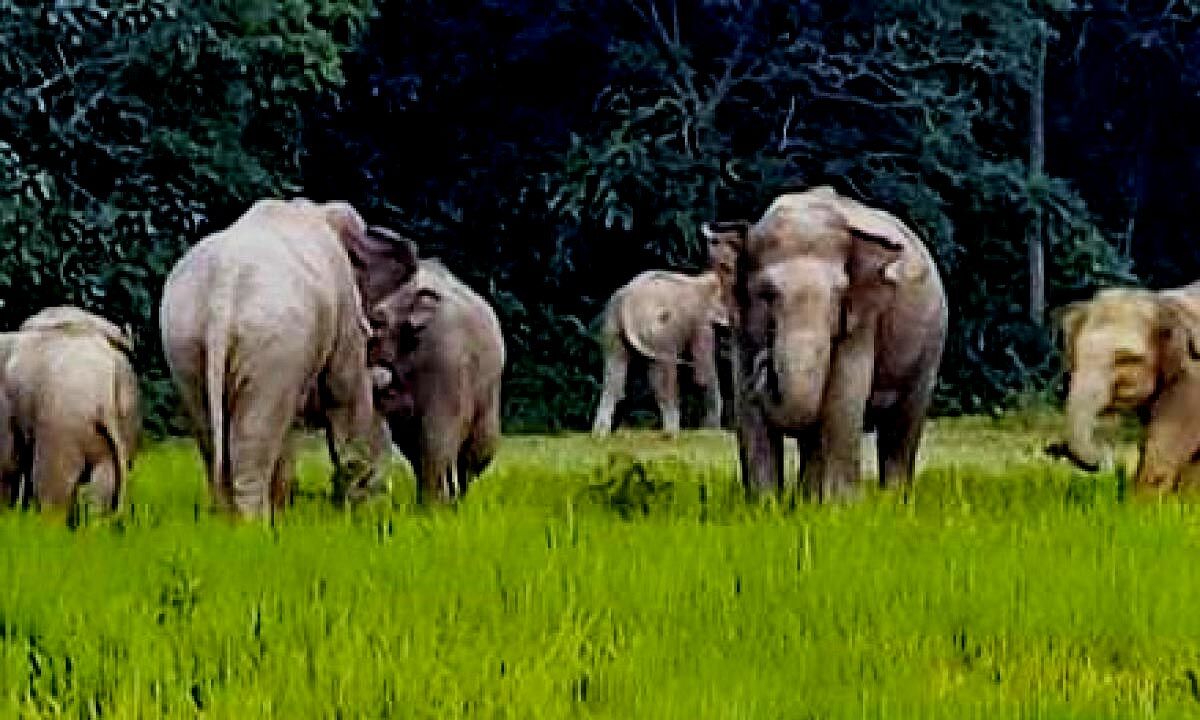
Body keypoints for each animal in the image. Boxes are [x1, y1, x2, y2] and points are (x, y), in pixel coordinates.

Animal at [160, 198, 416, 518]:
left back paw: (227, 520)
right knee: (255, 434)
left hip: (185, 343)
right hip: (273, 344)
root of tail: (222, 289)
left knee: (209, 431)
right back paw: (255, 523)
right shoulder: (343, 296)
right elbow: (343, 386)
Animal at [365, 255, 505, 502]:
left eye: (377, 322)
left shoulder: (445, 354)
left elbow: (435, 433)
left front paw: (433, 509)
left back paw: (458, 501)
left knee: (476, 453)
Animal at [591, 269, 729, 437]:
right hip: (659, 331)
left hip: (612, 329)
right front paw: (715, 434)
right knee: (664, 377)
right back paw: (673, 434)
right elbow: (702, 374)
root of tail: (626, 307)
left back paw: (599, 435)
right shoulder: (700, 322)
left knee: (613, 379)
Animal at [704, 185, 947, 500]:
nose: (766, 364)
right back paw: (809, 500)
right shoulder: (742, 325)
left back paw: (893, 502)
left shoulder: (862, 316)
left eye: (838, 294)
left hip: (930, 346)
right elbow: (748, 410)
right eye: (767, 294)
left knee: (901, 428)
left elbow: (844, 395)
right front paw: (765, 505)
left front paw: (842, 506)